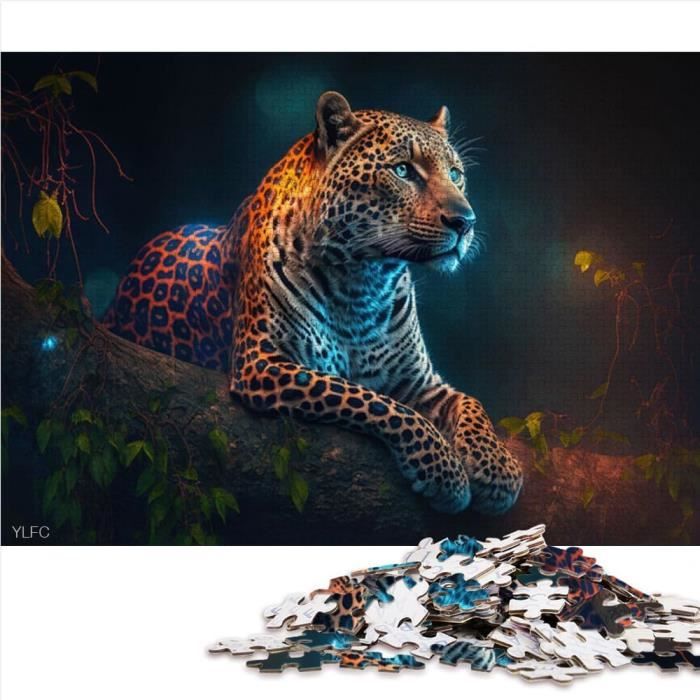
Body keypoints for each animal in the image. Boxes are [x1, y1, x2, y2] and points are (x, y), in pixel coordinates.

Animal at [103, 91, 523, 515]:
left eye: (455, 174)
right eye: (403, 170)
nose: (465, 221)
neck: (363, 283)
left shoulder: (418, 382)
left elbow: (470, 402)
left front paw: (498, 469)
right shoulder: (263, 363)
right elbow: (375, 402)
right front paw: (443, 471)